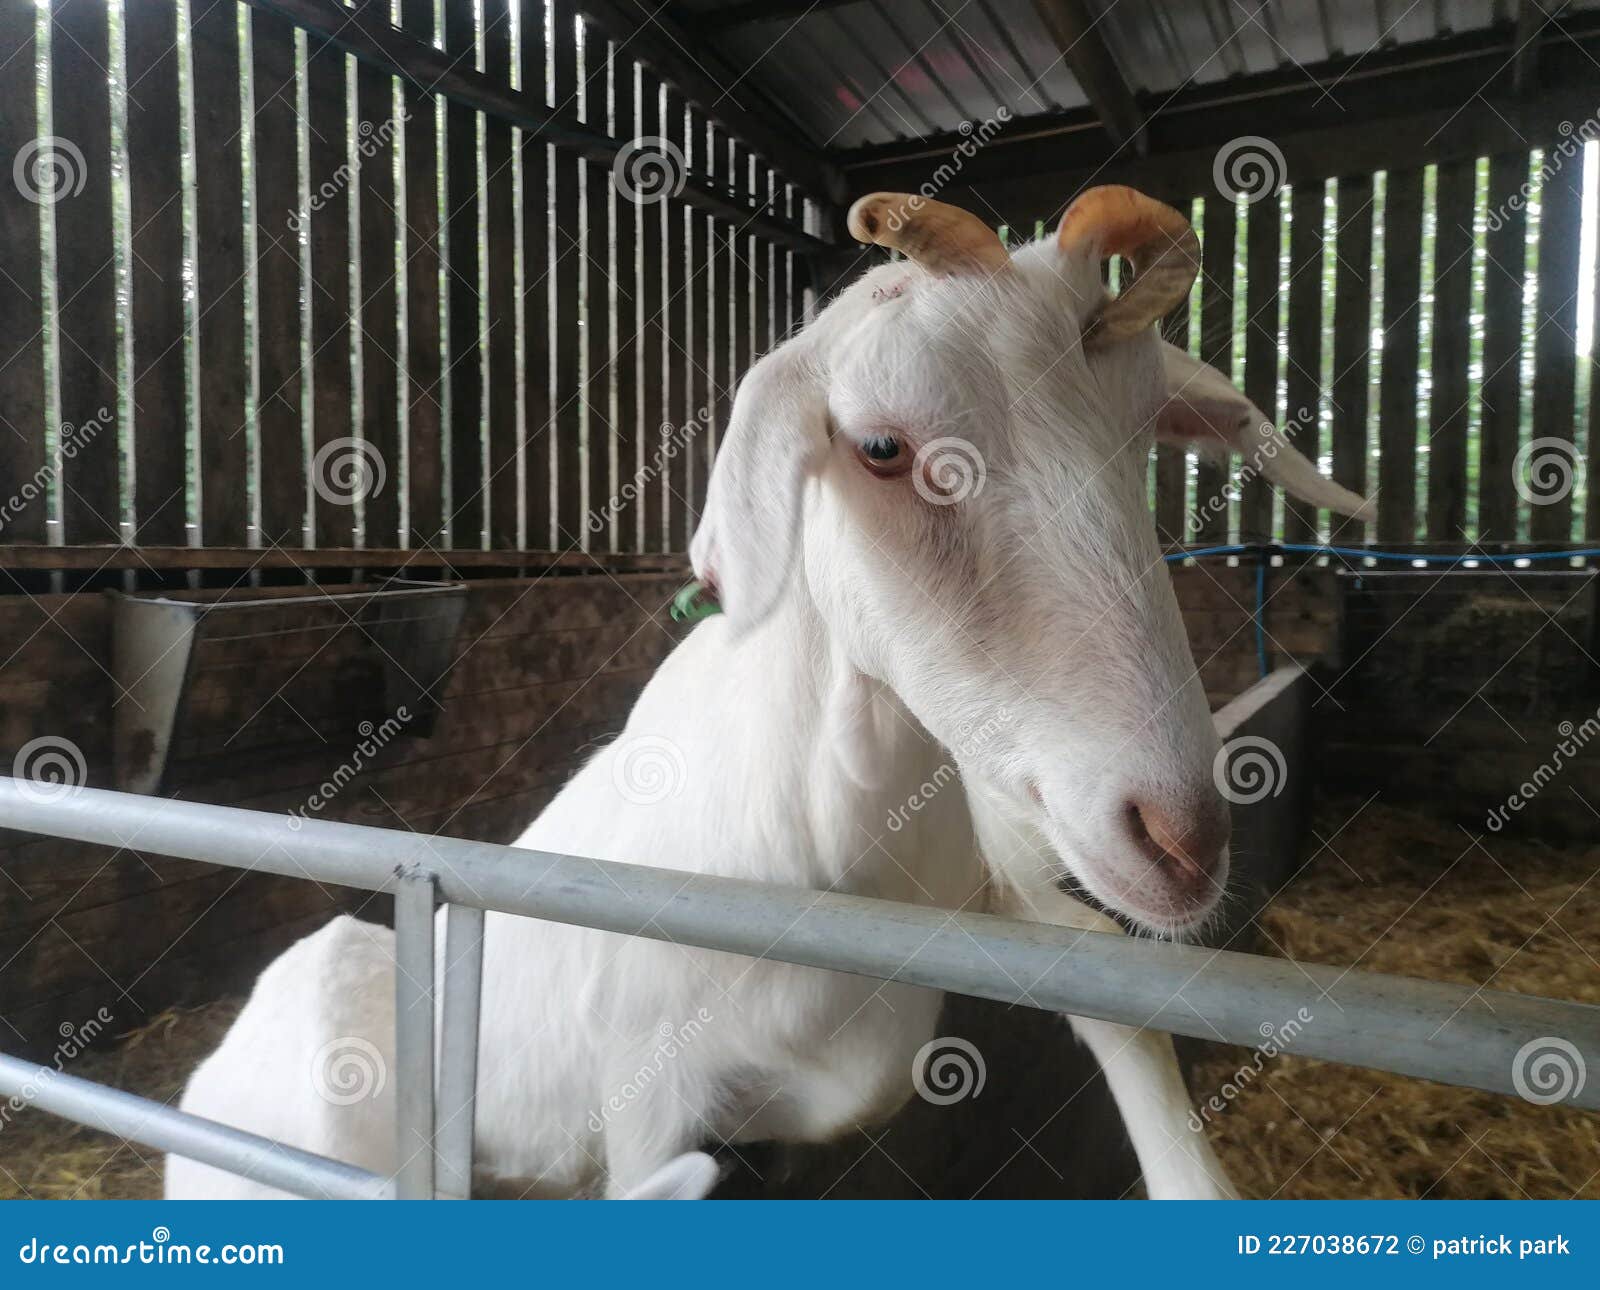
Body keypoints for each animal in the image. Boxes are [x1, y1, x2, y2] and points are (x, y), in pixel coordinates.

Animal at [166, 187, 1369, 1200]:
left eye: (1142, 439)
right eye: (881, 444)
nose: (1180, 834)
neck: (837, 850)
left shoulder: (1018, 885)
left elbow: (1126, 1016)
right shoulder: (644, 1096)